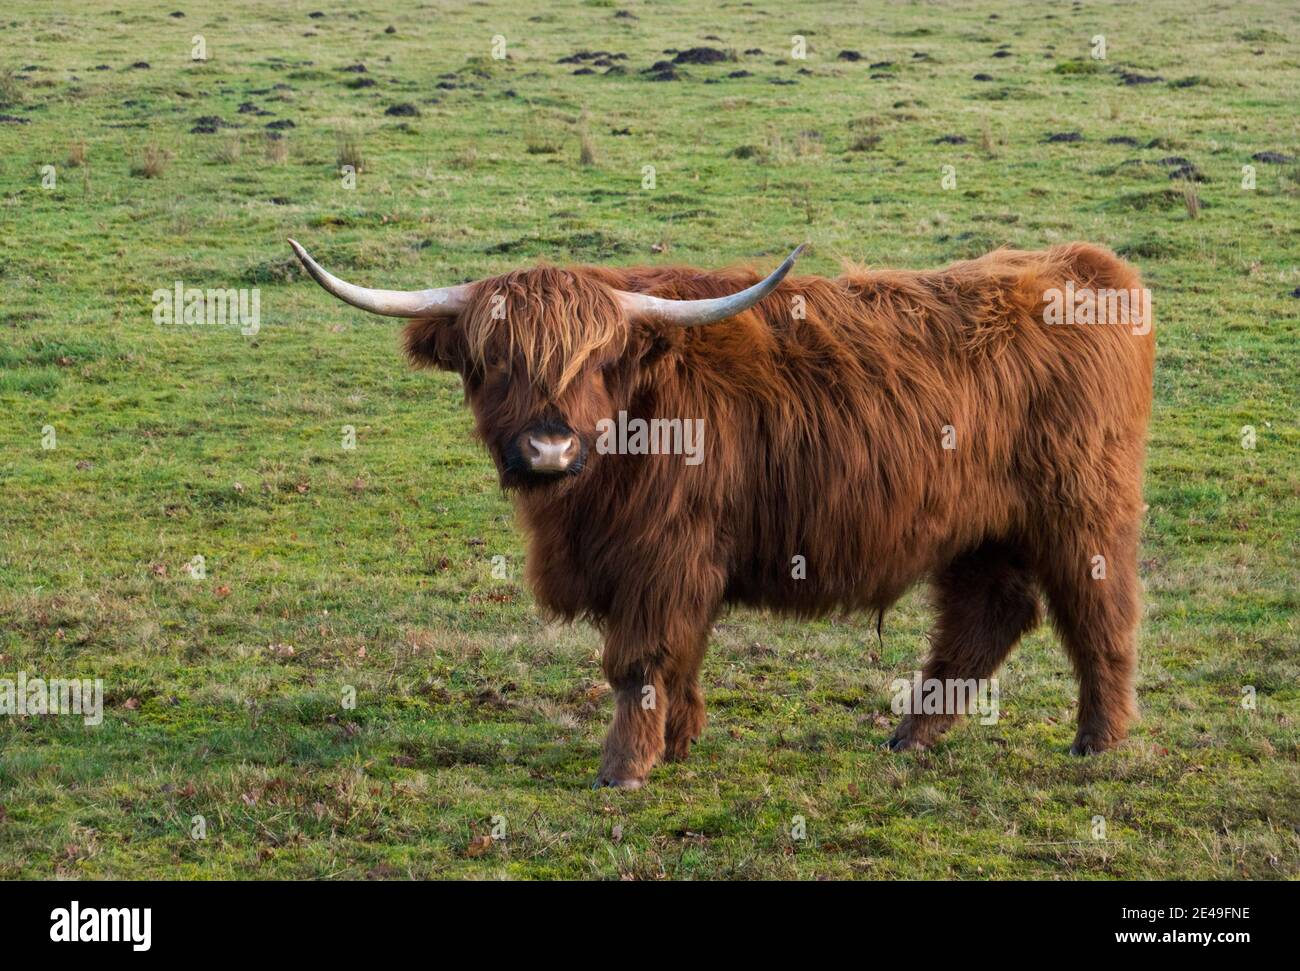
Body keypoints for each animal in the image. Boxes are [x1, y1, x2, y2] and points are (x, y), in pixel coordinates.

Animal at [289, 238, 1154, 789]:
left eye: (596, 362)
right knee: (988, 615)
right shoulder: (679, 562)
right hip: (983, 529)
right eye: (493, 361)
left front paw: (624, 768)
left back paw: (1097, 740)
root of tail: (1086, 264)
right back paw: (911, 734)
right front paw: (677, 742)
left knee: (1098, 614)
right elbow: (683, 654)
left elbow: (639, 661)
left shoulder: (662, 554)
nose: (547, 448)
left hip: (1081, 512)